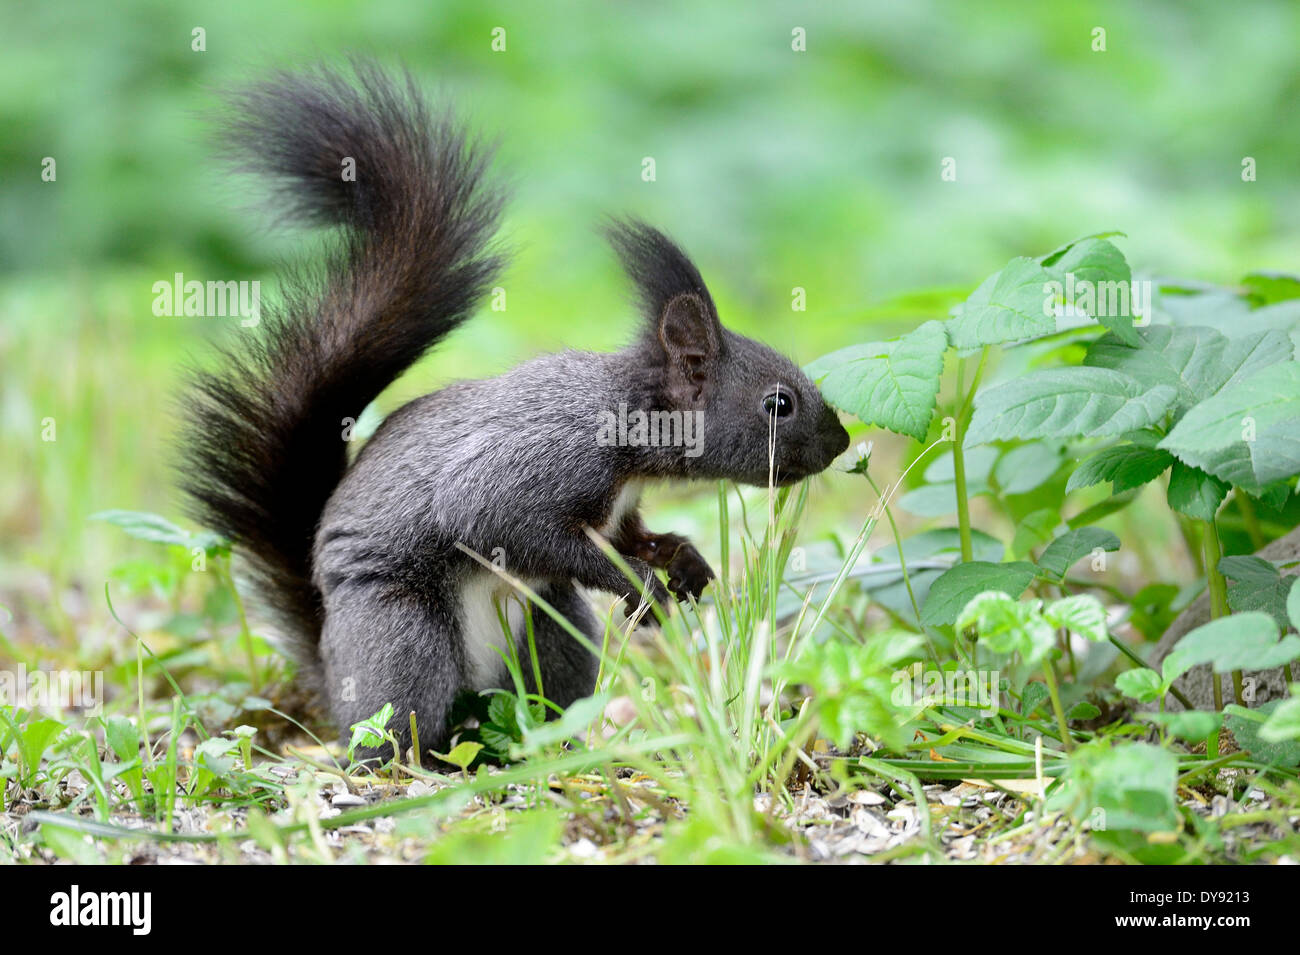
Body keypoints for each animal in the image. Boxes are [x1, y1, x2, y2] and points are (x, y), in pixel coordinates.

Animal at [179, 61, 850, 762]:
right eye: (778, 404)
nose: (840, 442)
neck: (624, 420)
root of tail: (332, 674)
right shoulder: (538, 459)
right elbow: (503, 521)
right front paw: (636, 580)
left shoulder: (618, 506)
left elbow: (628, 534)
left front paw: (681, 559)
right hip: (401, 636)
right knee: (394, 724)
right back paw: (417, 765)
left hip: (552, 630)